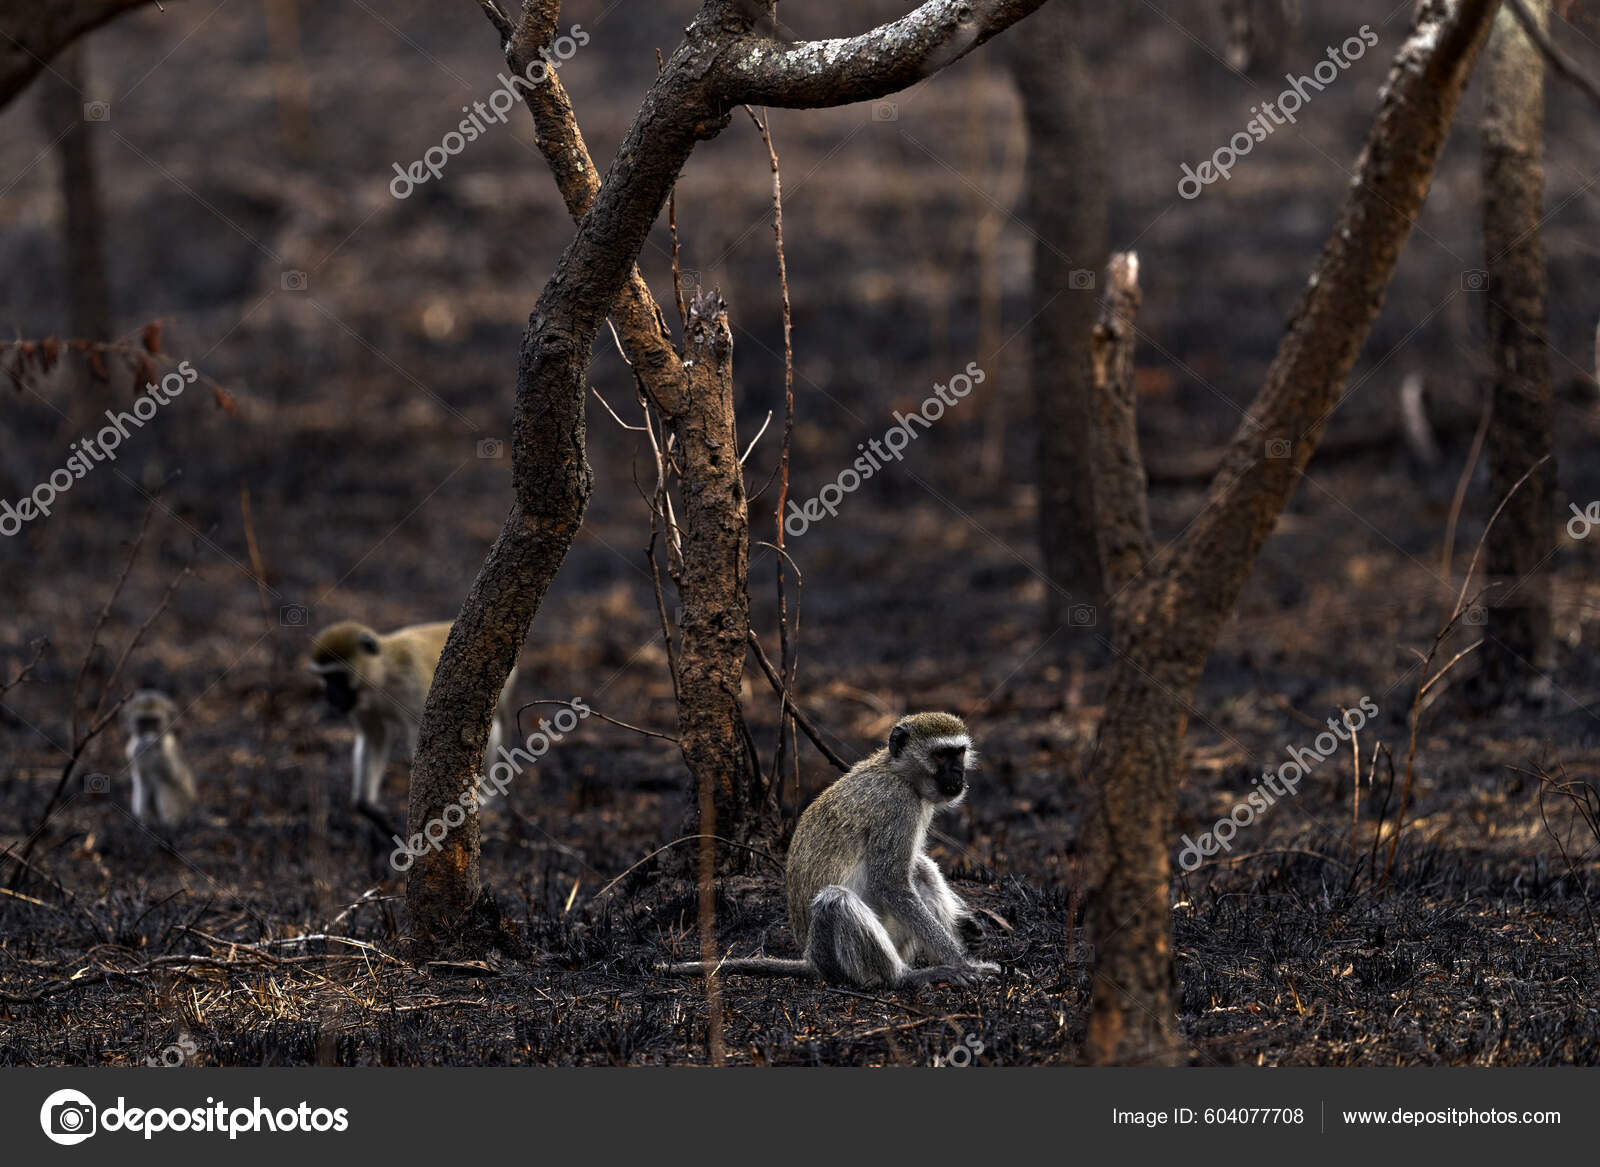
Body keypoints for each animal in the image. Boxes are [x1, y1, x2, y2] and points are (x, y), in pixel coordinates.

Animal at [121, 690, 198, 827]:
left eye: (154, 722)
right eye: (143, 722)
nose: (148, 733)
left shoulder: (168, 750)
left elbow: (176, 777)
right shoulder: (131, 751)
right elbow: (142, 780)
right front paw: (143, 818)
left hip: (184, 806)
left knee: (164, 783)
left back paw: (170, 822)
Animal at [308, 620, 518, 805]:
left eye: (337, 677)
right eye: (325, 678)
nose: (330, 696)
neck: (381, 678)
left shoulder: (411, 683)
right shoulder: (360, 704)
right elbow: (374, 736)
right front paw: (365, 805)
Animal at [662, 711, 998, 989]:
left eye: (959, 753)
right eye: (941, 755)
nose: (959, 774)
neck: (897, 772)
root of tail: (810, 959)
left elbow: (909, 873)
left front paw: (966, 924)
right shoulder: (898, 805)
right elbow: (891, 884)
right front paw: (961, 963)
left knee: (921, 869)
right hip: (831, 956)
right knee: (837, 901)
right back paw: (907, 977)